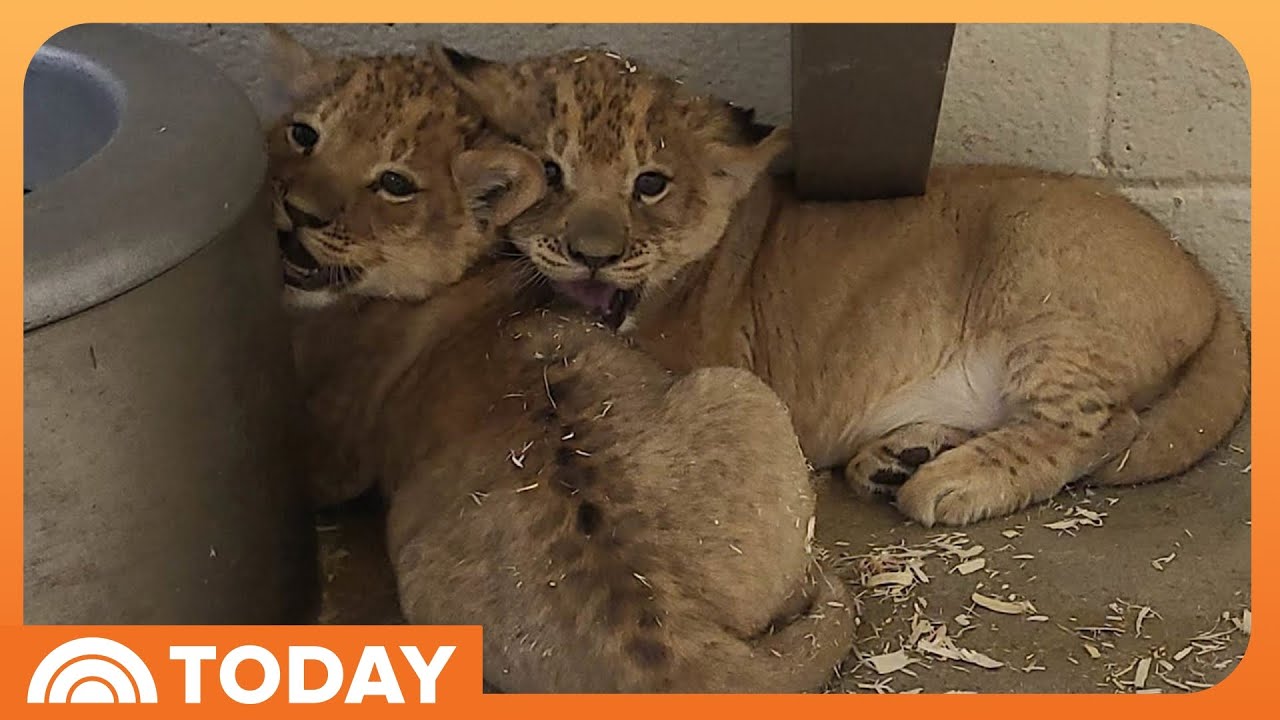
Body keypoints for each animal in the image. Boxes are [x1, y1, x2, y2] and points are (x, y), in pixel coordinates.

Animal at [435, 47, 1250, 528]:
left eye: (651, 184)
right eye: (550, 171)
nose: (592, 256)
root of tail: (1213, 285)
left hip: (1045, 291)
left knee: (1105, 426)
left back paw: (946, 483)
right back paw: (901, 458)